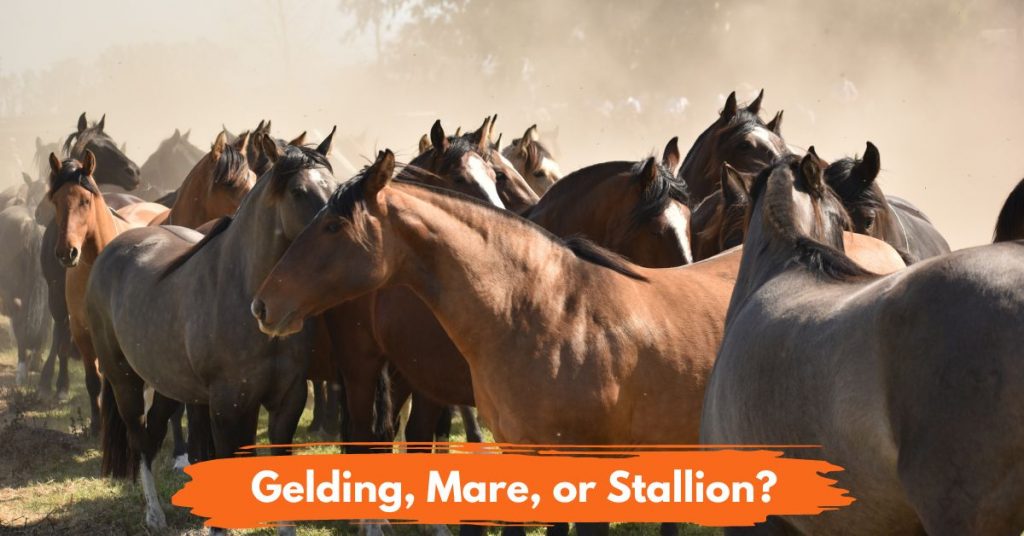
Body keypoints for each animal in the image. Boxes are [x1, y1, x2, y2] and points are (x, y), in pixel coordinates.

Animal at [46, 151, 166, 434]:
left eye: (85, 200)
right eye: (55, 201)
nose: (66, 253)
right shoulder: (81, 332)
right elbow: (93, 380)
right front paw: (95, 424)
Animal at [85, 137, 337, 532]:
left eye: (335, 183)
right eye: (299, 191)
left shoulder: (288, 398)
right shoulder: (225, 404)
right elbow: (224, 454)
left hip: (170, 384)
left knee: (154, 433)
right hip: (124, 378)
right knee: (140, 438)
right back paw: (154, 514)